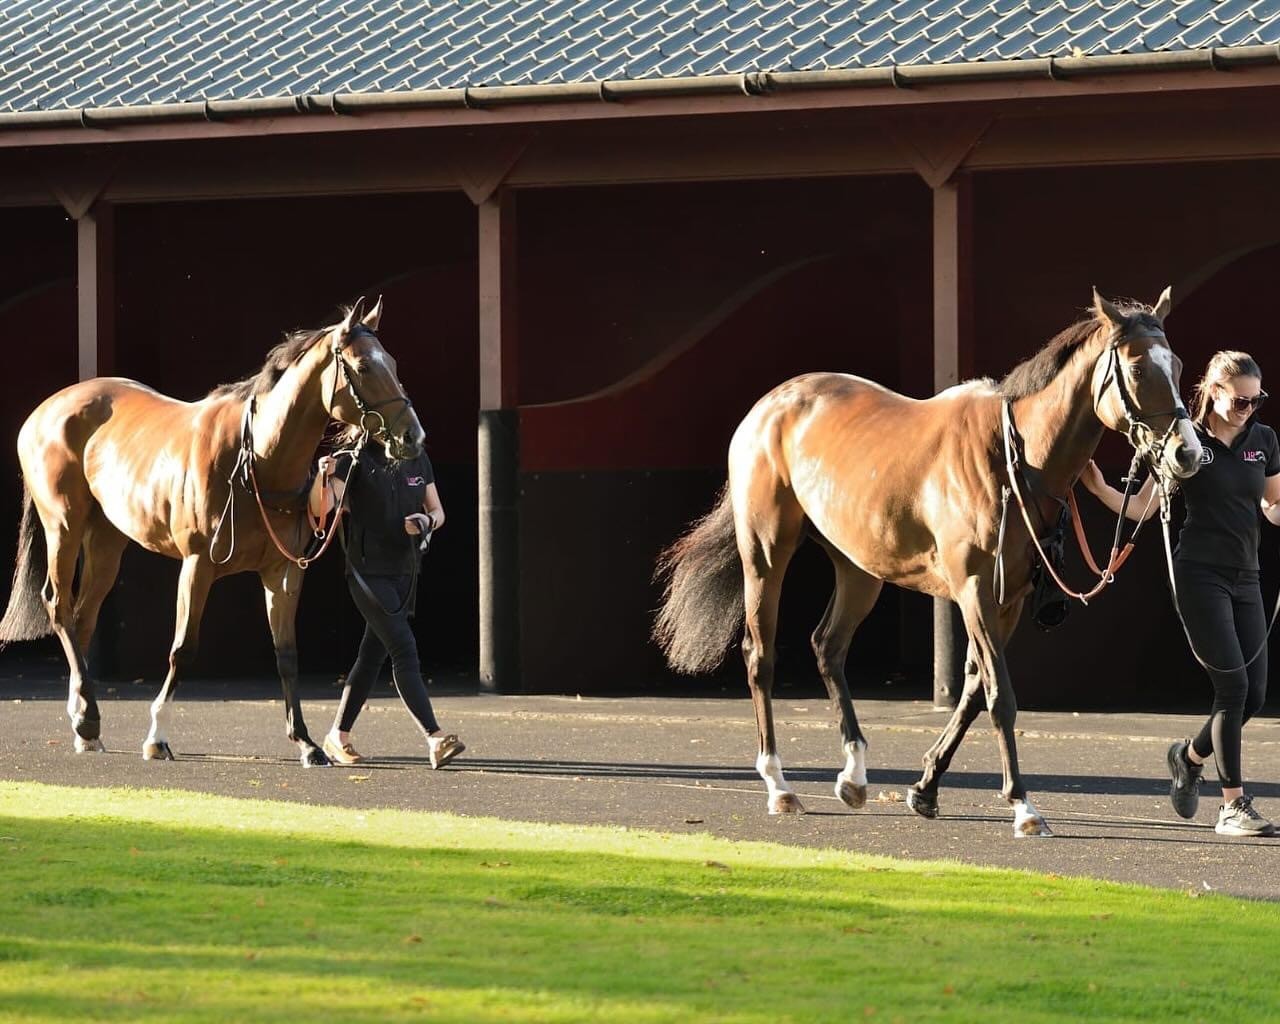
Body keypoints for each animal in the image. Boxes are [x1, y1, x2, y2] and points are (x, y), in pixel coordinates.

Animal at [0, 298, 424, 765]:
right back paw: (88, 718)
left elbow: (287, 654)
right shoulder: (197, 565)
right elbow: (183, 649)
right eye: (364, 366)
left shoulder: (283, 572)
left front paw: (306, 742)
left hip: (107, 539)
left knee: (83, 616)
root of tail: (46, 410)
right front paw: (157, 736)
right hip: (64, 524)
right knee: (58, 605)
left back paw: (84, 722)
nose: (413, 436)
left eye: (394, 363)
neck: (257, 458)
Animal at [654, 288, 1203, 837]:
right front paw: (1022, 805)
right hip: (766, 551)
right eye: (1137, 368)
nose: (1187, 453)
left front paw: (925, 787)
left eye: (1175, 365)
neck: (1011, 458)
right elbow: (1000, 694)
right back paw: (779, 785)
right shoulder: (974, 589)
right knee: (760, 655)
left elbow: (974, 691)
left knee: (828, 646)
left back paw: (854, 774)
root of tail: (768, 406)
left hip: (858, 567)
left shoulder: (1009, 598)